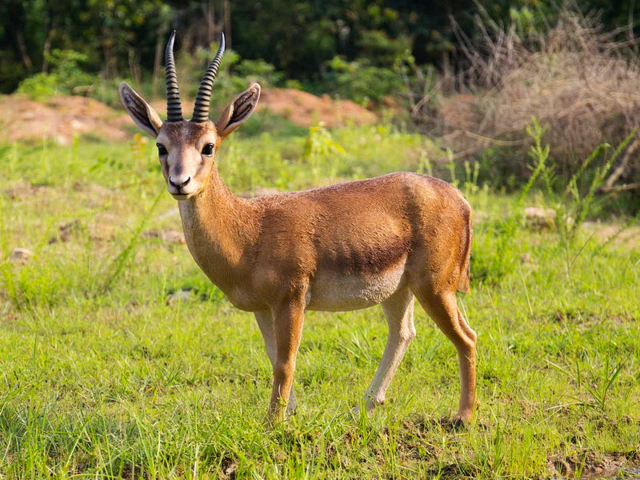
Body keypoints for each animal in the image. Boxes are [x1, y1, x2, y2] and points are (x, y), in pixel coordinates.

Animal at [119, 32, 477, 423]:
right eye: (161, 146)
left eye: (208, 146)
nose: (179, 183)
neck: (249, 231)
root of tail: (458, 198)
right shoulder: (263, 308)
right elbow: (273, 359)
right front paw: (288, 414)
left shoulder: (291, 300)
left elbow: (285, 363)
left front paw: (273, 423)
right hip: (400, 290)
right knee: (403, 334)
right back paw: (365, 406)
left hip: (435, 287)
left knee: (466, 337)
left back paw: (463, 417)